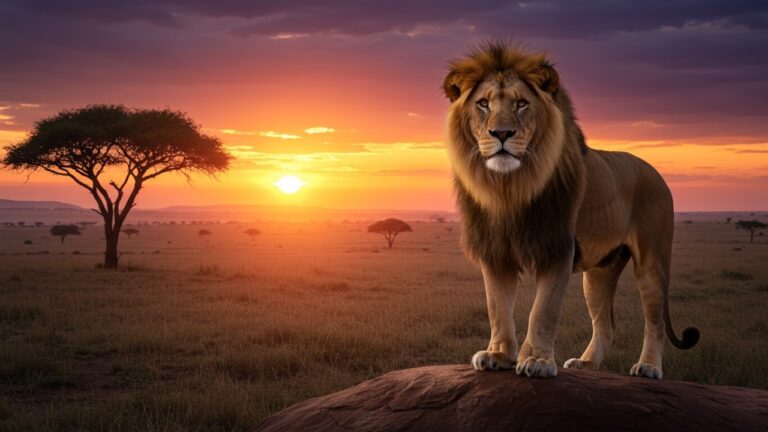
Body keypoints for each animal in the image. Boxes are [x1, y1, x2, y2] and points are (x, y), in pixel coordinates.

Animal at [443, 41, 699, 379]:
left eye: (522, 103)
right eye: (483, 104)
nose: (502, 133)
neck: (509, 188)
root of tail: (655, 172)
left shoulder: (558, 248)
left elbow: (543, 311)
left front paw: (536, 360)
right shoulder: (496, 252)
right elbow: (497, 308)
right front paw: (499, 355)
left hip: (652, 262)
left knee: (654, 321)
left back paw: (647, 367)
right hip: (599, 271)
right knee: (606, 323)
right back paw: (586, 363)